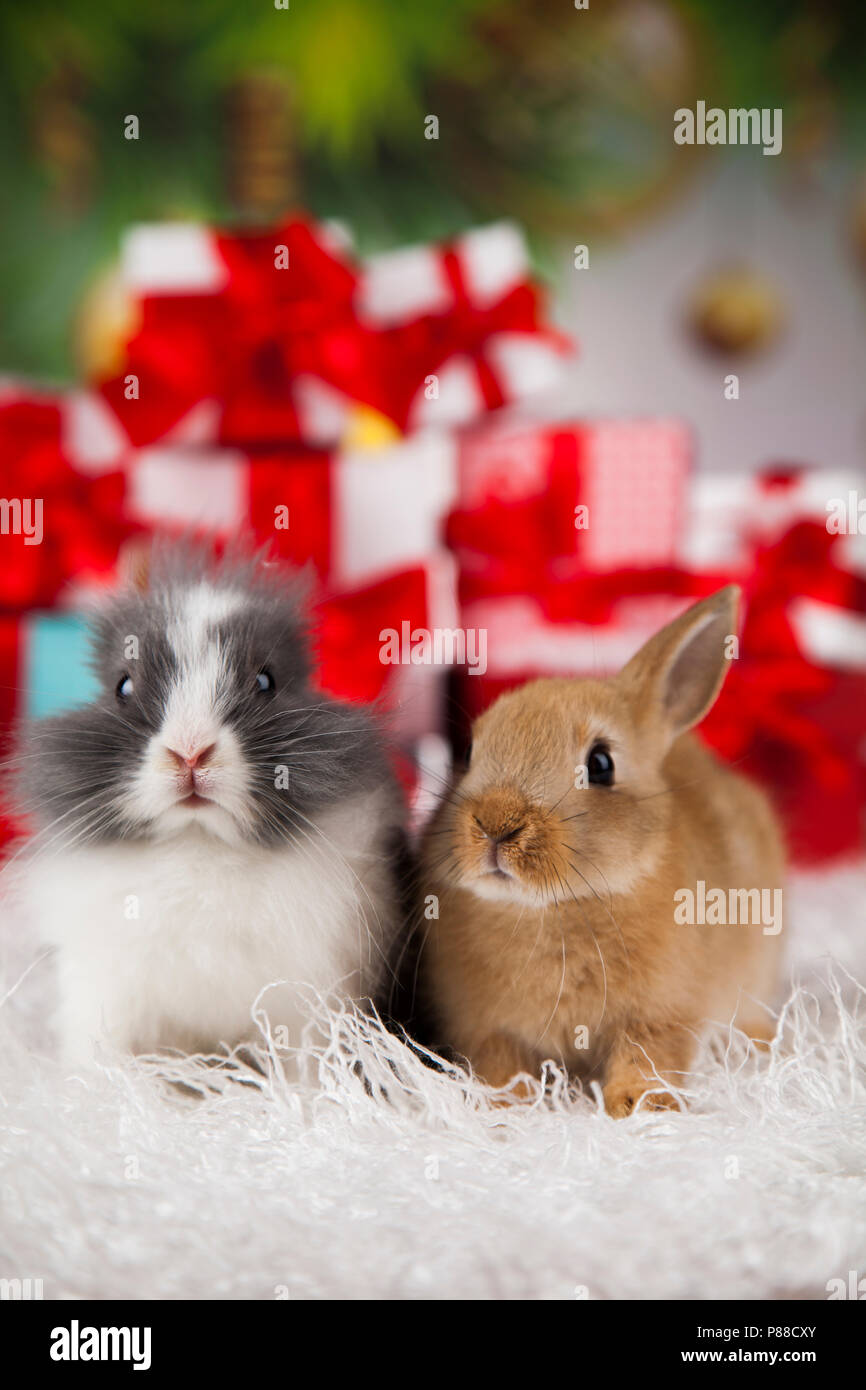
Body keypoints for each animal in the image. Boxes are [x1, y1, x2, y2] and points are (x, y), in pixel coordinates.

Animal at [6, 541, 406, 1066]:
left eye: (266, 682)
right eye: (123, 687)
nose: (190, 752)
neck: (197, 843)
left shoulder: (309, 1004)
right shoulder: (107, 995)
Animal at [418, 586, 785, 1116]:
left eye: (600, 764)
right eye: (466, 755)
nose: (496, 824)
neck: (553, 910)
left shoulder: (661, 1013)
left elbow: (649, 1053)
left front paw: (639, 1105)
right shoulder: (488, 1030)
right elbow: (501, 1063)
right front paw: (507, 1104)